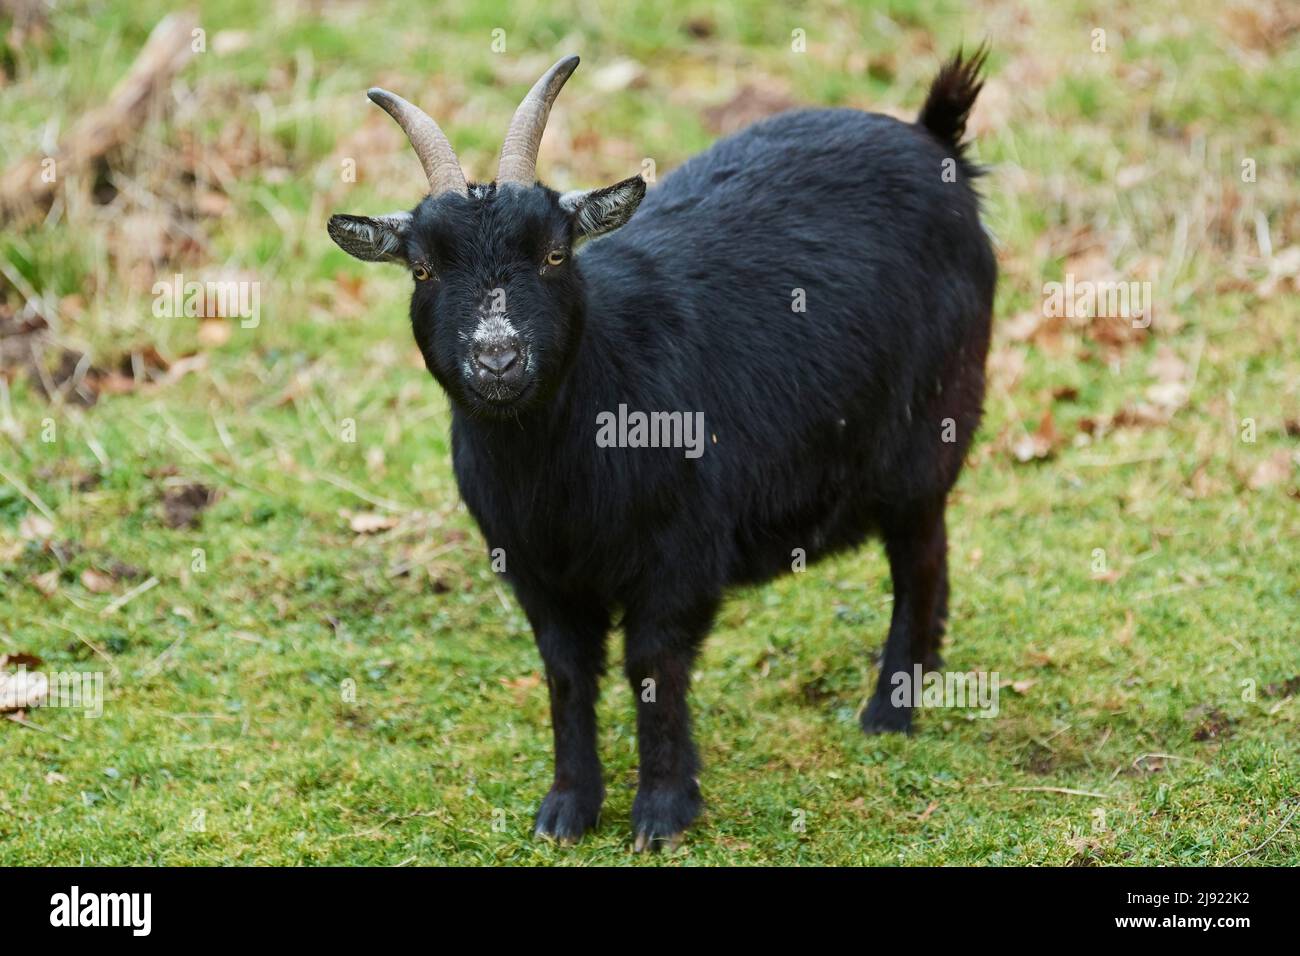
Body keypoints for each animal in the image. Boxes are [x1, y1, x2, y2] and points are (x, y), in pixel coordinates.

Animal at [328, 49, 996, 850]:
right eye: (423, 268)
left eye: (555, 253)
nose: (498, 359)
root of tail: (935, 140)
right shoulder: (532, 568)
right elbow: (566, 671)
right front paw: (567, 808)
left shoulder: (681, 552)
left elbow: (655, 664)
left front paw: (663, 811)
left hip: (927, 433)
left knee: (919, 559)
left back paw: (890, 711)